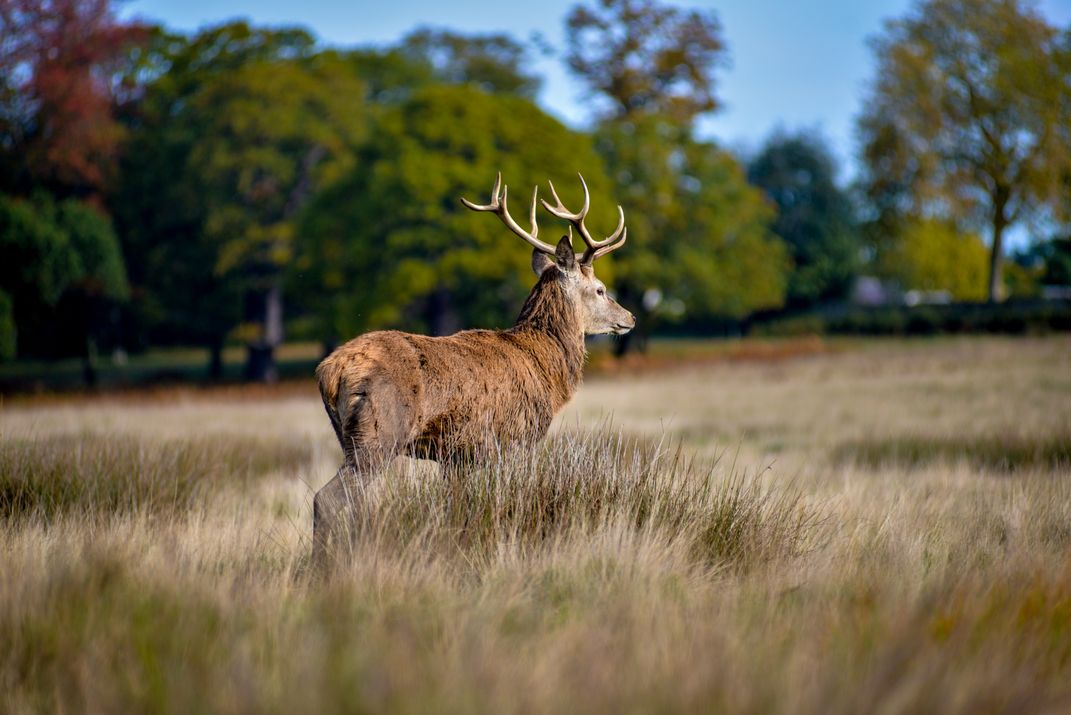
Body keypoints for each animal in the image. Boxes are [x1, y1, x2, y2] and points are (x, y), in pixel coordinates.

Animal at [312, 172, 635, 560]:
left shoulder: (457, 457)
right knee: (327, 499)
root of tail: (330, 373)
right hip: (379, 433)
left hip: (347, 436)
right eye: (601, 289)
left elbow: (454, 507)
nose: (630, 317)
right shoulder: (515, 439)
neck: (544, 366)